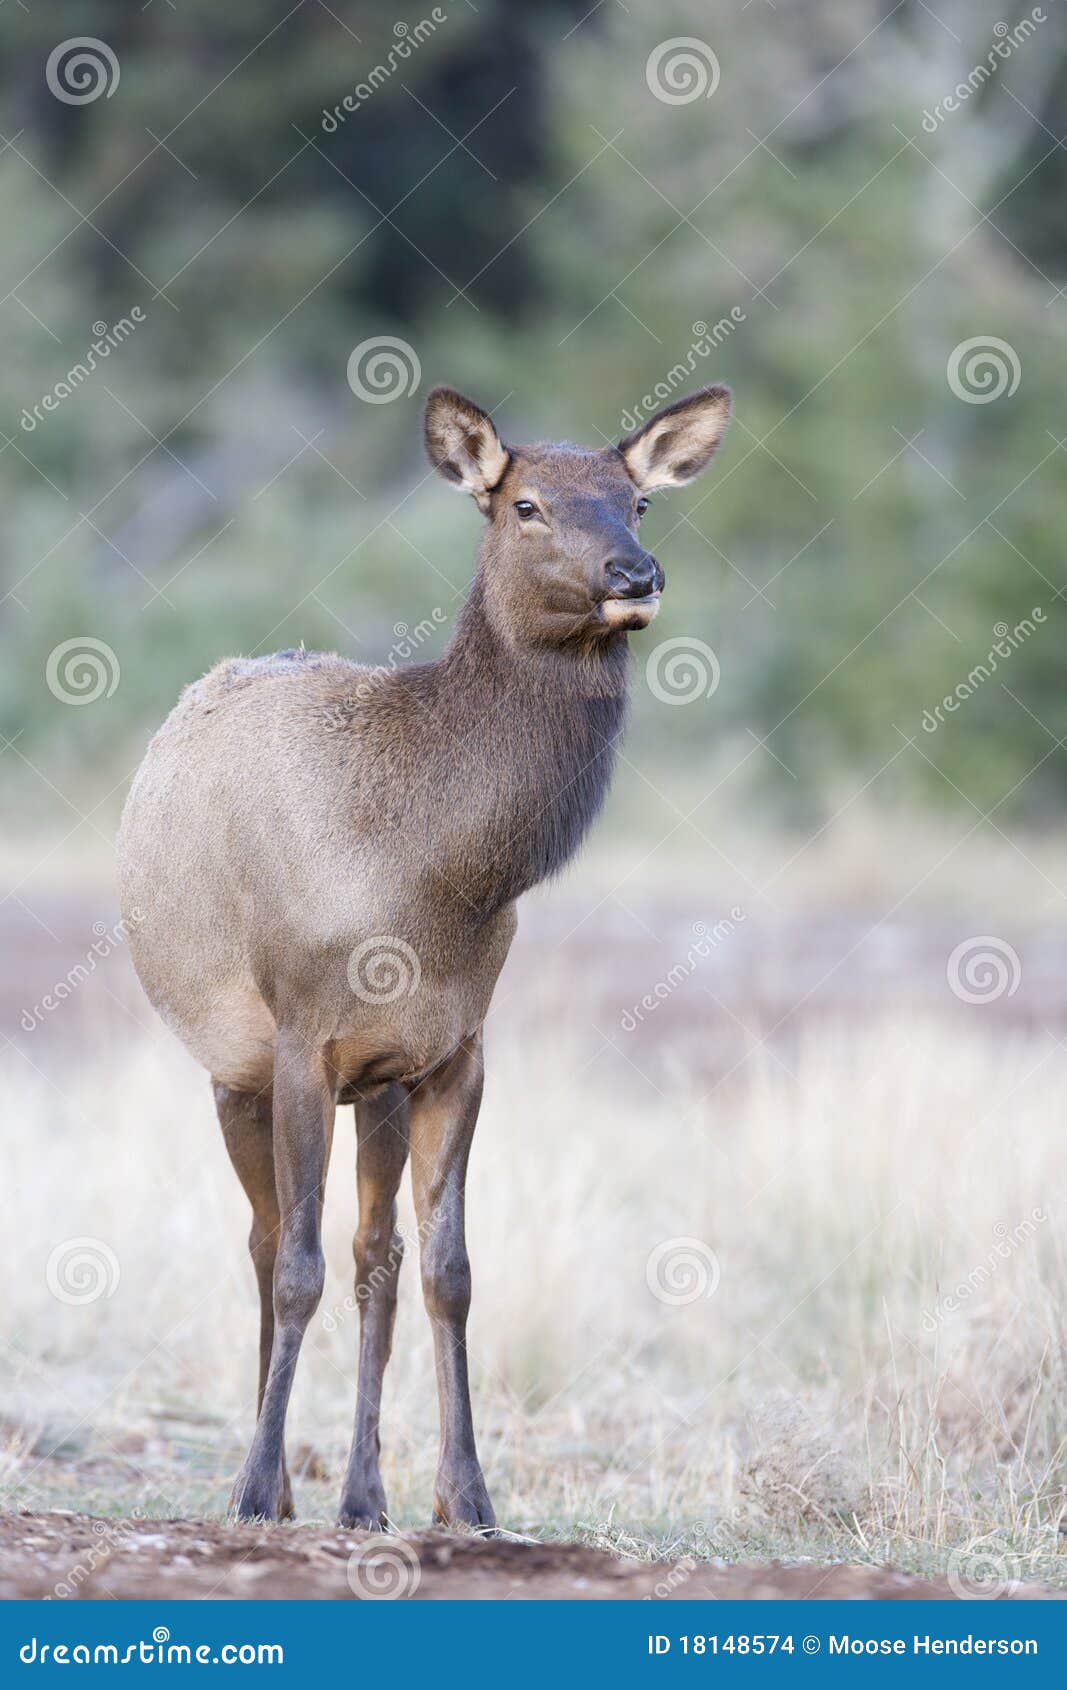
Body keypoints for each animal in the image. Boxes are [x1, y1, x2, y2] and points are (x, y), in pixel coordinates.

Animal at [117, 382, 732, 1529]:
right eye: (525, 505)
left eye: (636, 500)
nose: (635, 577)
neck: (429, 881)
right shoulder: (302, 1034)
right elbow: (297, 1265)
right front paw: (258, 1489)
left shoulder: (452, 1051)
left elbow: (445, 1269)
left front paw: (466, 1496)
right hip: (233, 1065)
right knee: (268, 1242)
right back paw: (270, 1479)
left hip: (380, 1088)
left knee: (376, 1255)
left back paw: (362, 1494)